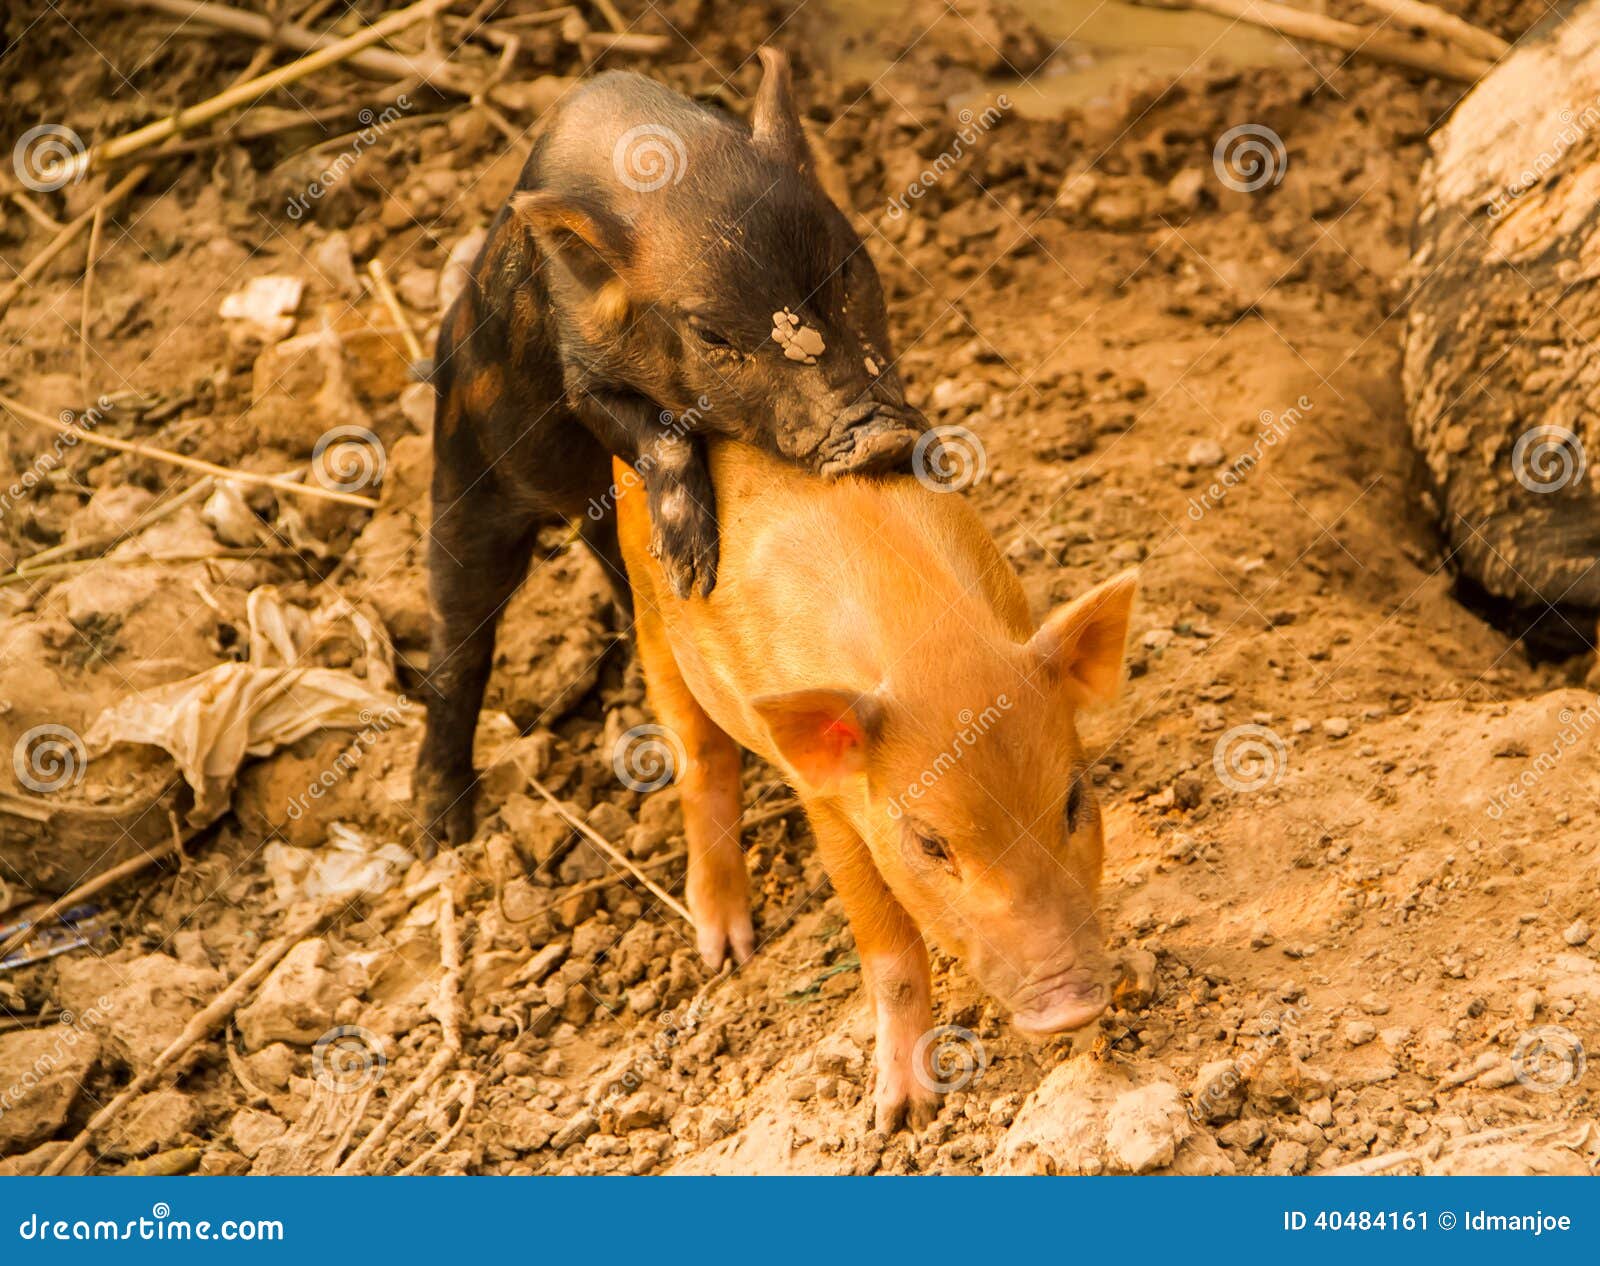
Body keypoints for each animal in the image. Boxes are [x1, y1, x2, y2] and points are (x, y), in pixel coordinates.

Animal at [415, 48, 927, 847]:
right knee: (456, 648)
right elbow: (652, 432)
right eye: (712, 333)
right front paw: (693, 573)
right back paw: (441, 829)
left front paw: (679, 578)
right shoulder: (582, 372)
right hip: (465, 486)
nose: (880, 434)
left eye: (847, 269)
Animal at [613, 440, 1138, 1131]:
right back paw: (727, 955)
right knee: (694, 742)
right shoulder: (826, 802)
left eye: (1075, 803)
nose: (1072, 1003)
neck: (928, 646)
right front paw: (901, 1117)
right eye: (930, 844)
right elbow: (887, 952)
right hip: (648, 591)